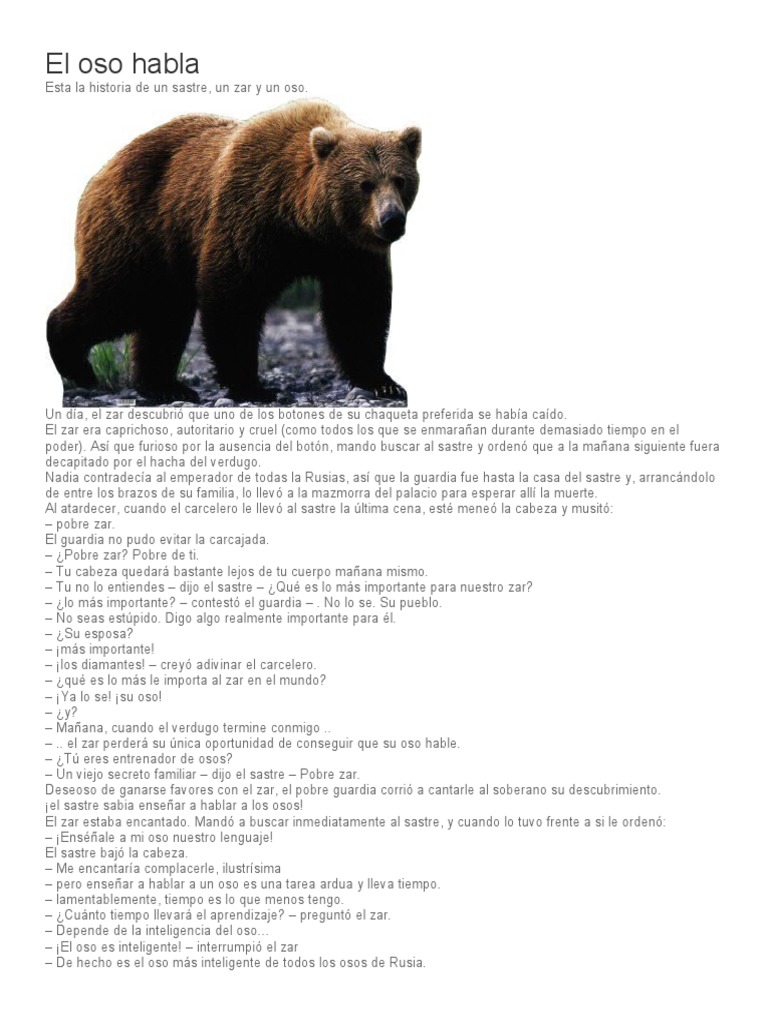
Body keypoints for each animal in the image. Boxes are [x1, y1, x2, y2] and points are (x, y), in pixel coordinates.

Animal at [47, 100, 421, 403]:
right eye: (364, 184)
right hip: (139, 225)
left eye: (400, 179)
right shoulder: (250, 212)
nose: (391, 220)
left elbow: (358, 309)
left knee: (164, 313)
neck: (304, 222)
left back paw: (164, 385)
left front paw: (383, 383)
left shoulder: (349, 251)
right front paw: (254, 386)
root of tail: (103, 169)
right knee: (118, 295)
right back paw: (76, 363)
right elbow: (234, 295)